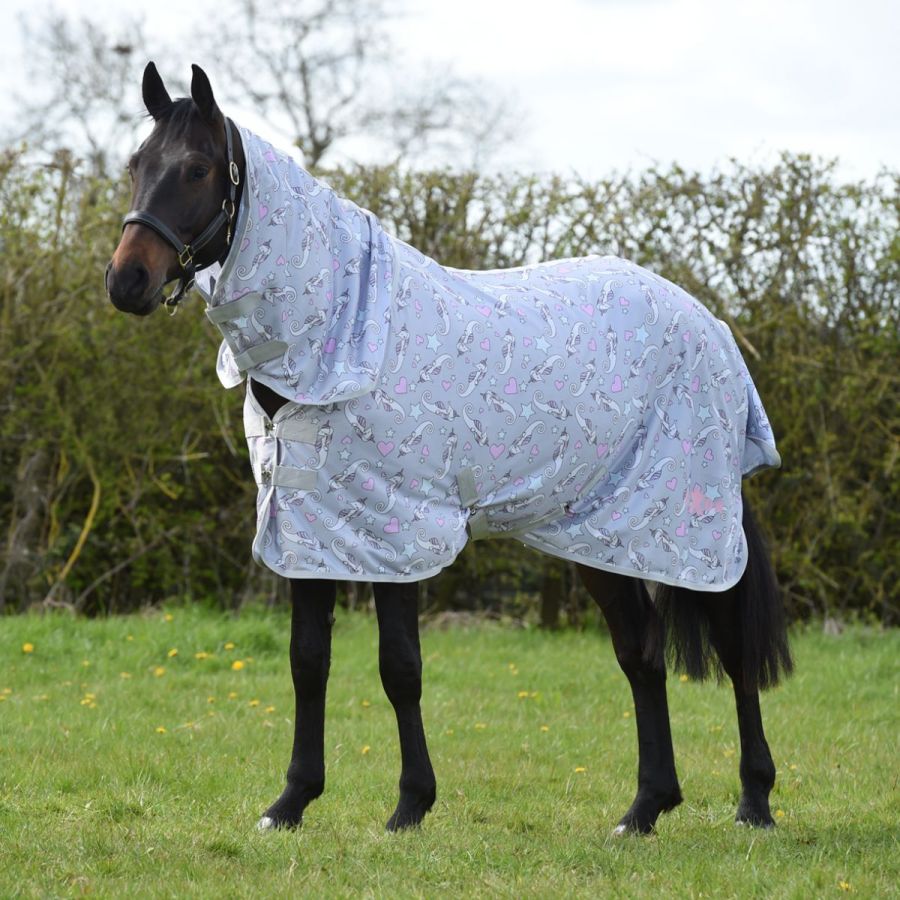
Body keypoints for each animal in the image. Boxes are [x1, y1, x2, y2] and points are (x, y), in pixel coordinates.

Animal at [106, 62, 793, 835]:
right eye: (136, 164)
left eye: (195, 168)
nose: (126, 281)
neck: (340, 338)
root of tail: (711, 324)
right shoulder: (309, 529)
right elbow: (307, 661)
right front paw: (290, 803)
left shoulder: (394, 531)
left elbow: (399, 667)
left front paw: (410, 805)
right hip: (605, 536)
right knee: (640, 654)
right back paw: (645, 809)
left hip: (688, 530)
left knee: (735, 651)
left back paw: (754, 801)